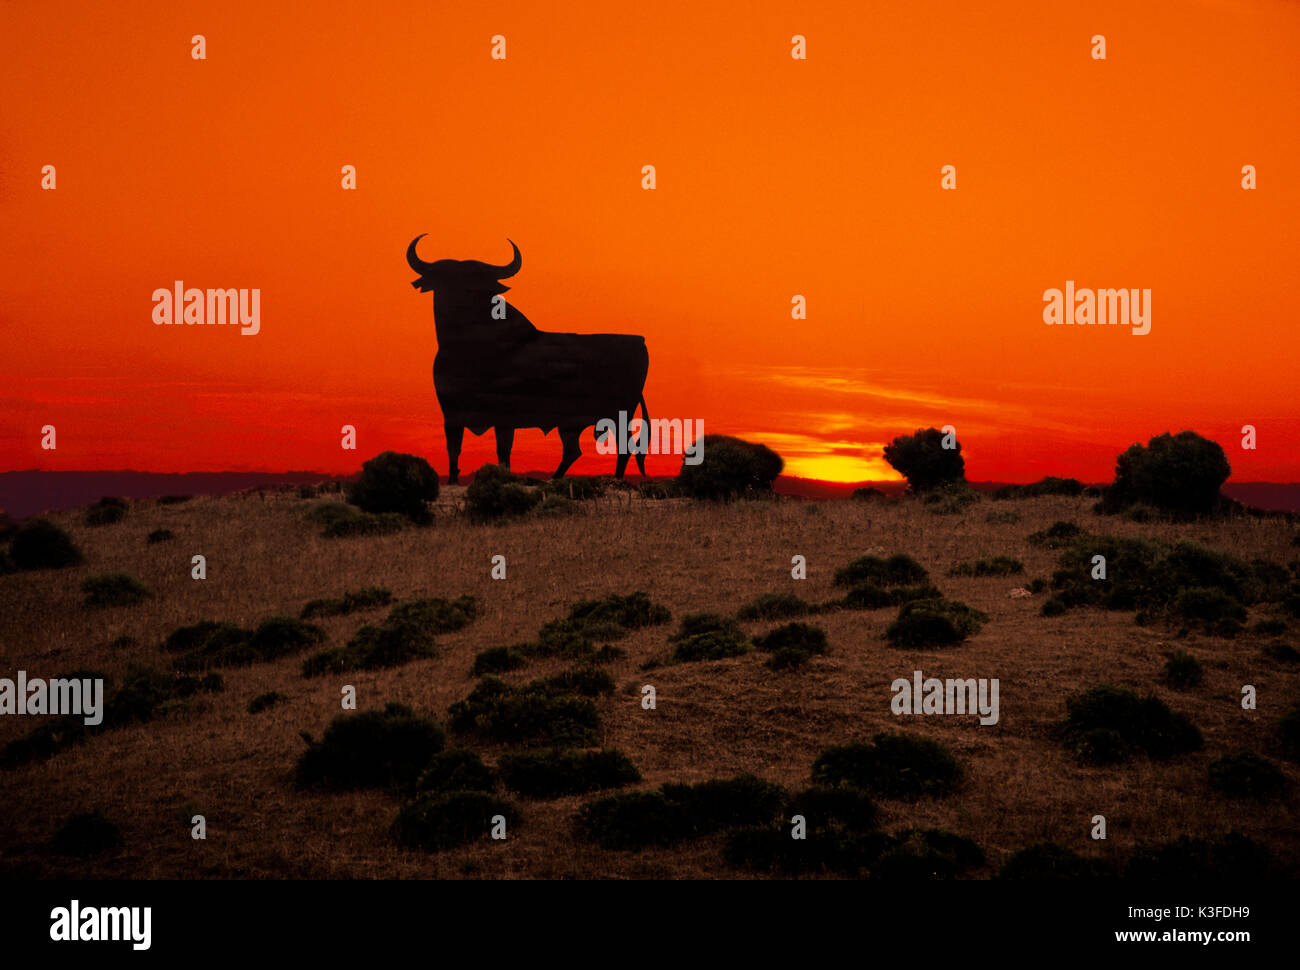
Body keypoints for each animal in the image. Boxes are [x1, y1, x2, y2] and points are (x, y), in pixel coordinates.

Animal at [407, 236, 651, 483]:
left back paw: (615, 480)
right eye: (446, 279)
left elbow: (503, 451)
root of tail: (639, 341)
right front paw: (453, 480)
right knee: (573, 450)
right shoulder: (451, 412)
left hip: (620, 415)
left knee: (623, 447)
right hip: (571, 423)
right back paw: (555, 478)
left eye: (478, 281)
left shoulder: (504, 415)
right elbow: (454, 448)